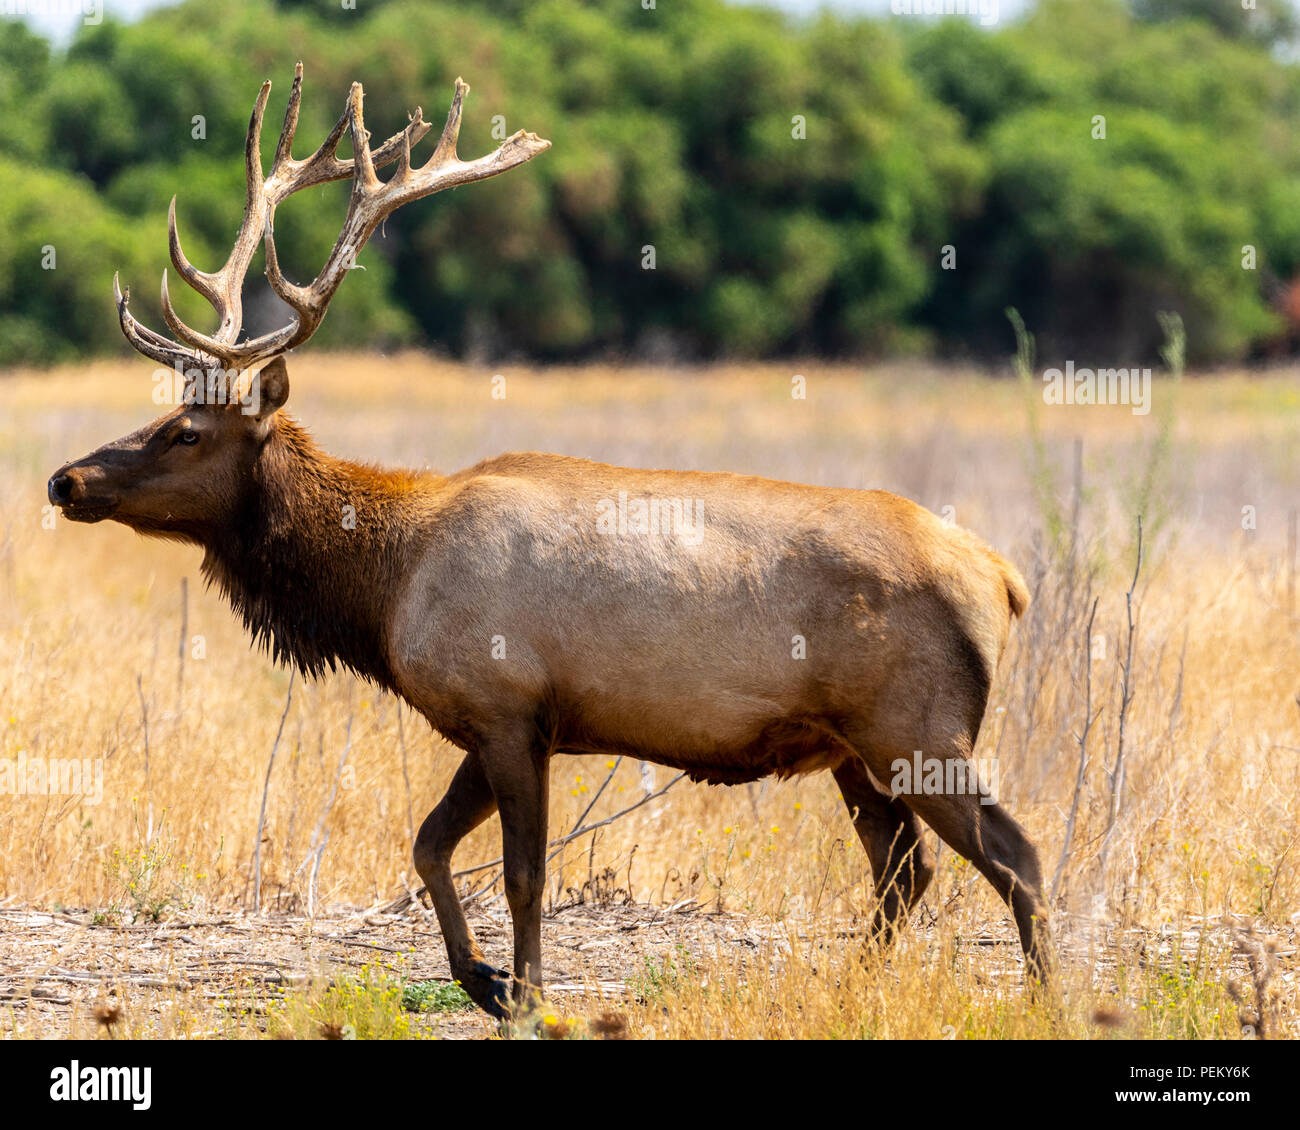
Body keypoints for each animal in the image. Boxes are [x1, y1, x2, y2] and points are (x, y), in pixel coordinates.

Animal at [47, 66, 1056, 1019]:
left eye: (185, 432)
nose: (67, 480)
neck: (385, 584)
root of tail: (1004, 578)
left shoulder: (509, 707)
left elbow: (523, 874)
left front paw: (525, 995)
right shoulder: (490, 722)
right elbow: (427, 844)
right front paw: (485, 980)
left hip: (918, 724)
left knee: (1014, 855)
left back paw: (1047, 996)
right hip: (855, 748)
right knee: (906, 869)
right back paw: (846, 987)